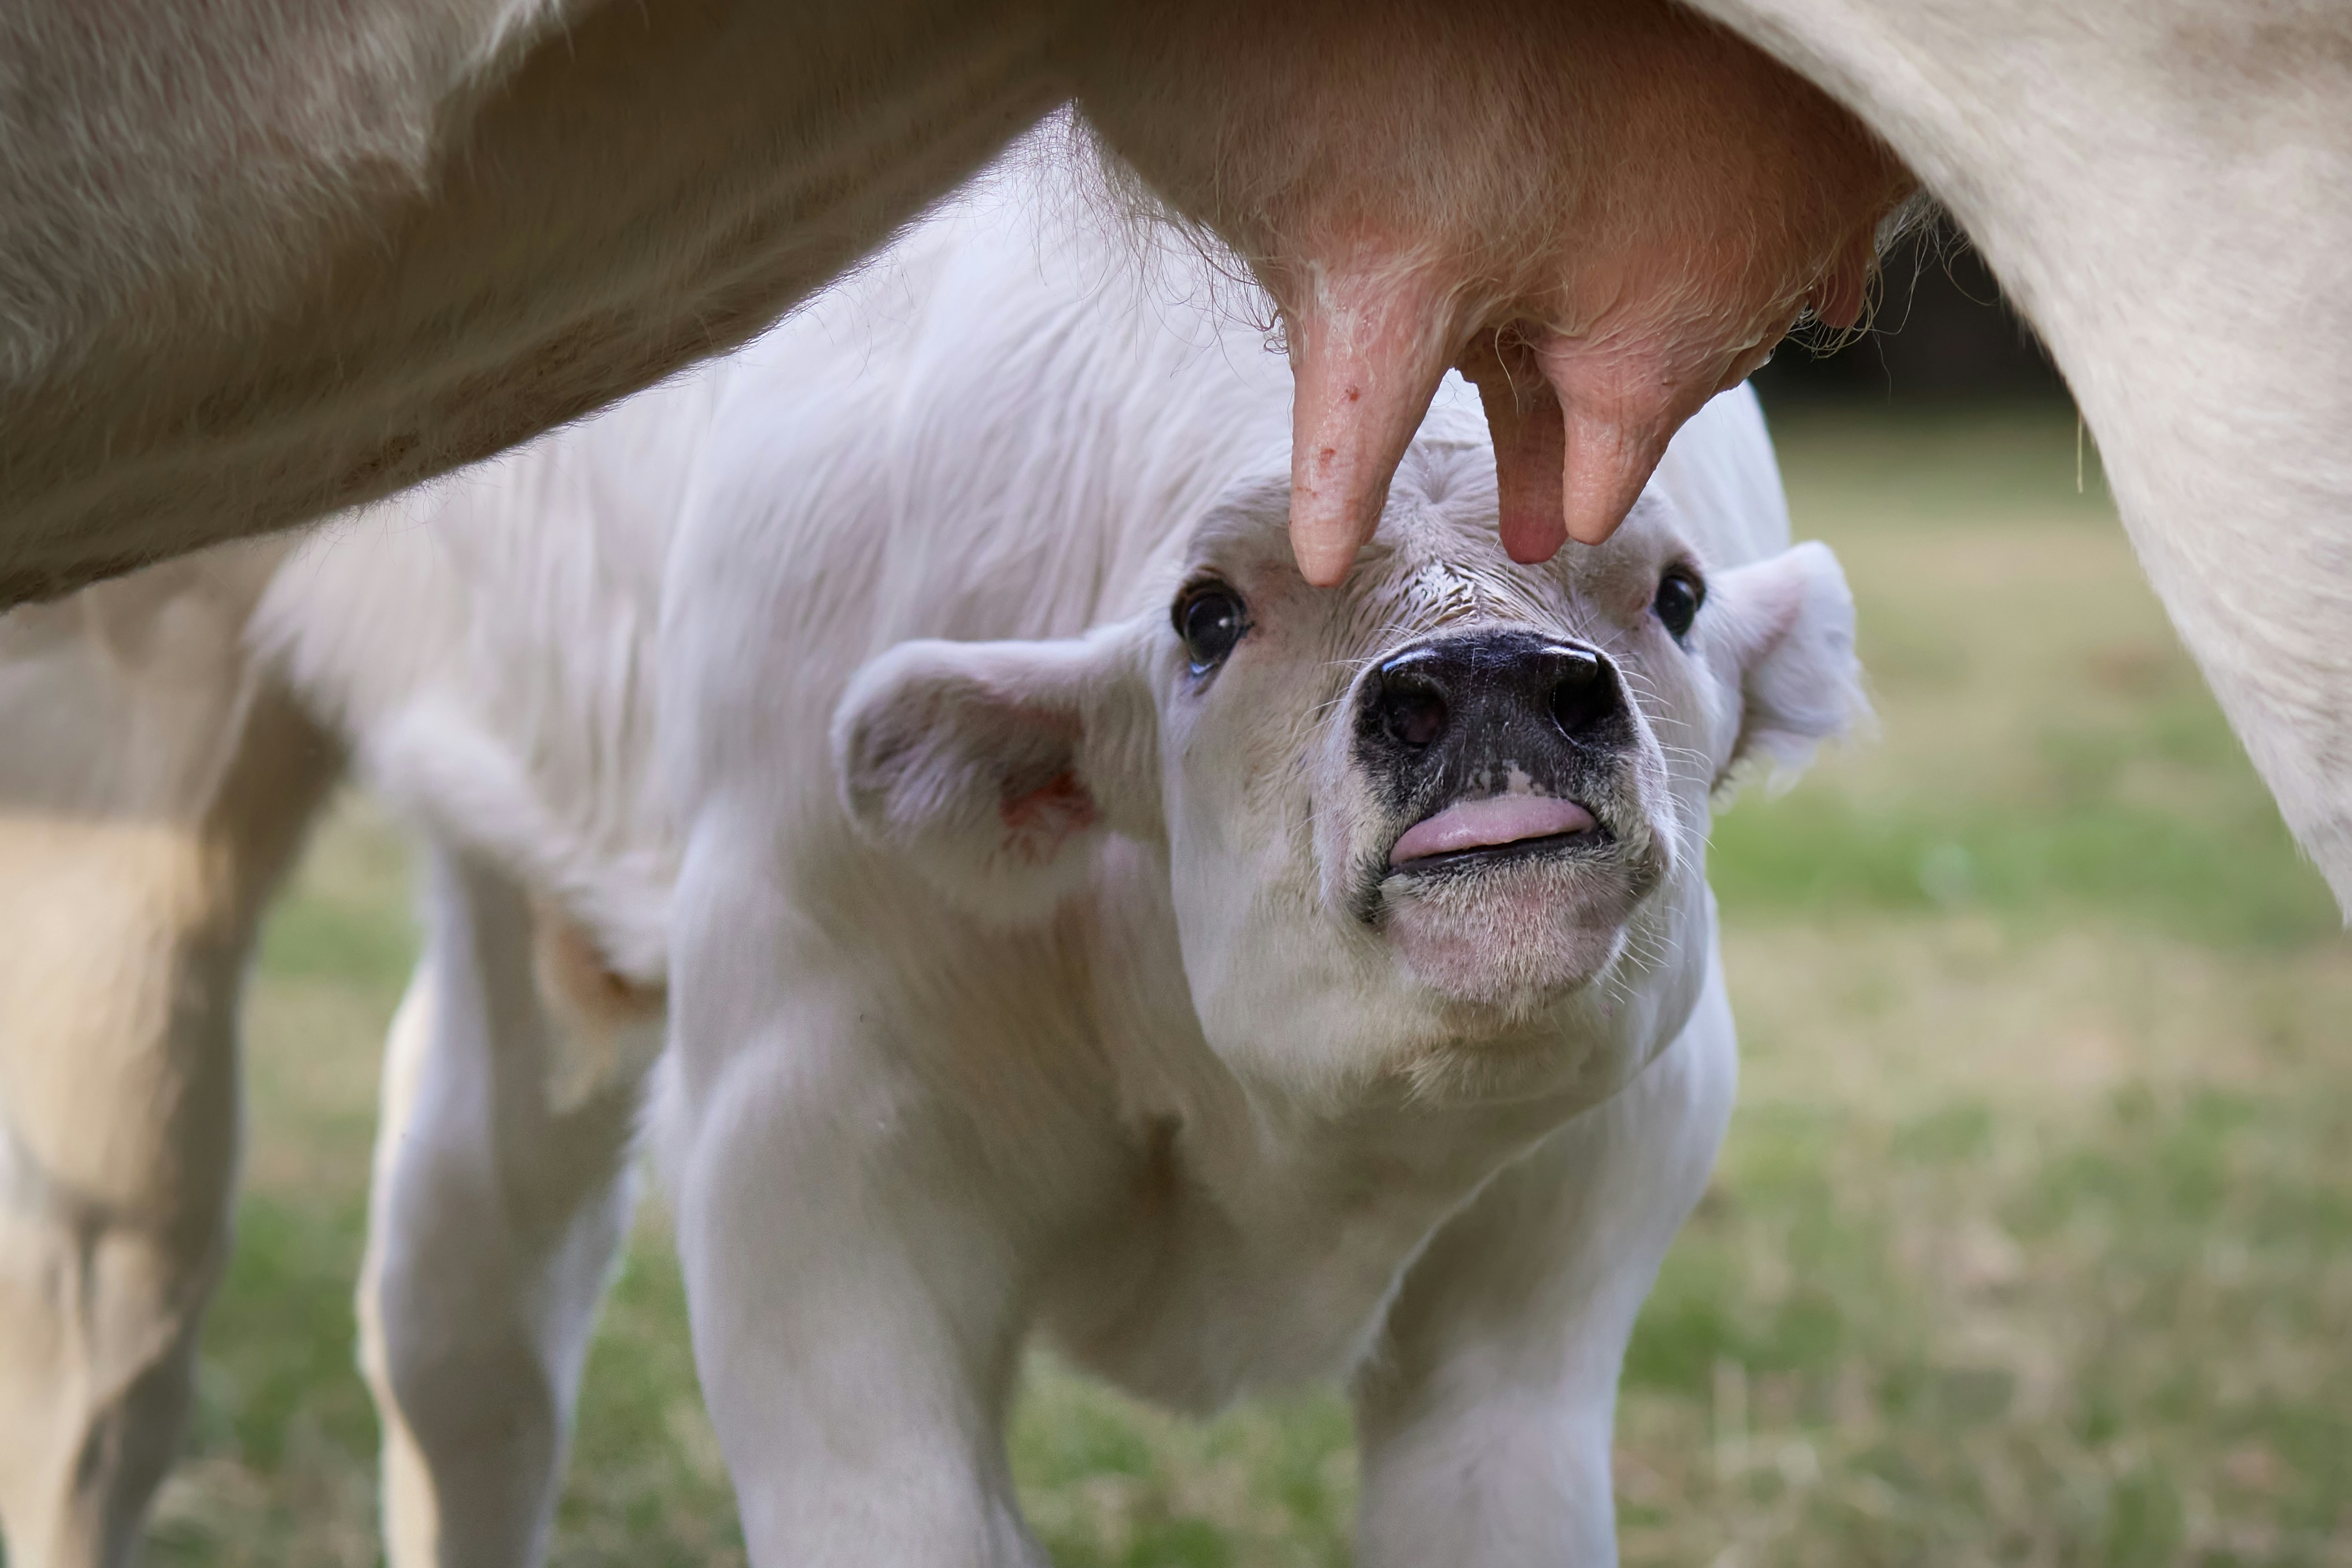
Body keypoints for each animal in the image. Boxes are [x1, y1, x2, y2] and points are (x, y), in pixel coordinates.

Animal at [0, 158, 1862, 1564]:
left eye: (1676, 589)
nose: (1483, 684)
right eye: (1205, 614)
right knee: (112, 1305)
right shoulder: (807, 1139)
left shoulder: (1571, 1237)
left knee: (464, 1296)